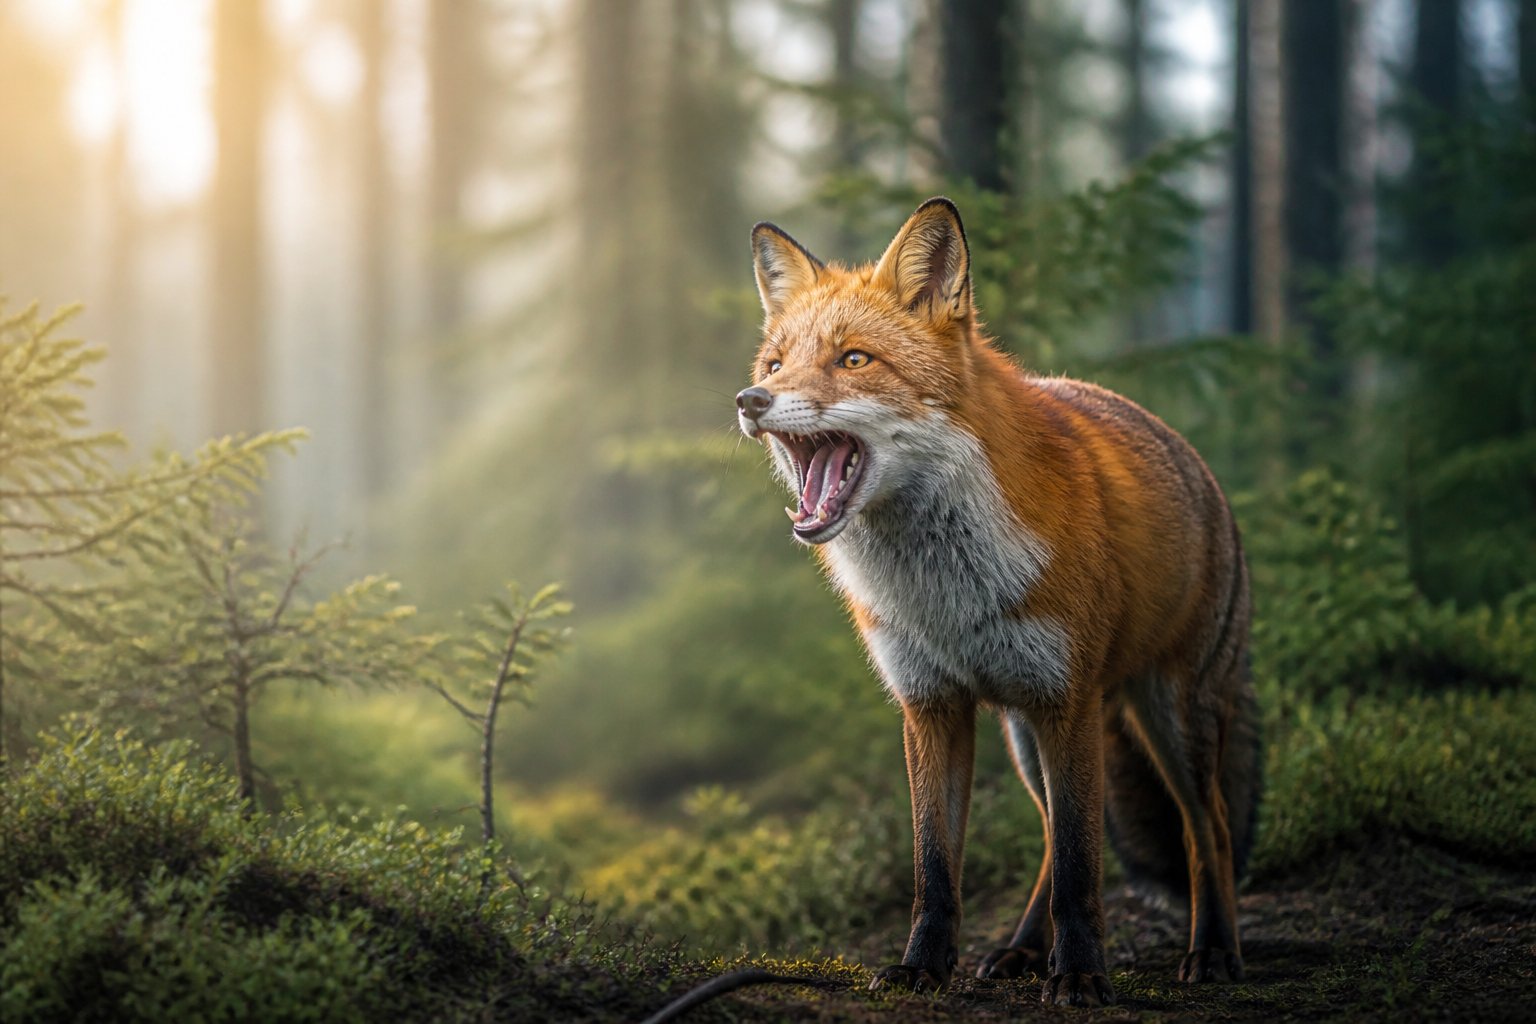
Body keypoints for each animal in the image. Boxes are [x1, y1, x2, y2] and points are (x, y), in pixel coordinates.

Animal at [734, 198, 1261, 1008]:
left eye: (854, 360)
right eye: (774, 364)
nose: (750, 401)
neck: (944, 594)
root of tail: (1193, 459)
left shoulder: (1065, 700)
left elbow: (1083, 867)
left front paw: (1081, 976)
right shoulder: (932, 703)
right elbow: (935, 868)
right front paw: (923, 967)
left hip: (1171, 716)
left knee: (1209, 830)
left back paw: (1213, 950)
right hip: (1025, 734)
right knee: (1050, 836)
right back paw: (1019, 950)